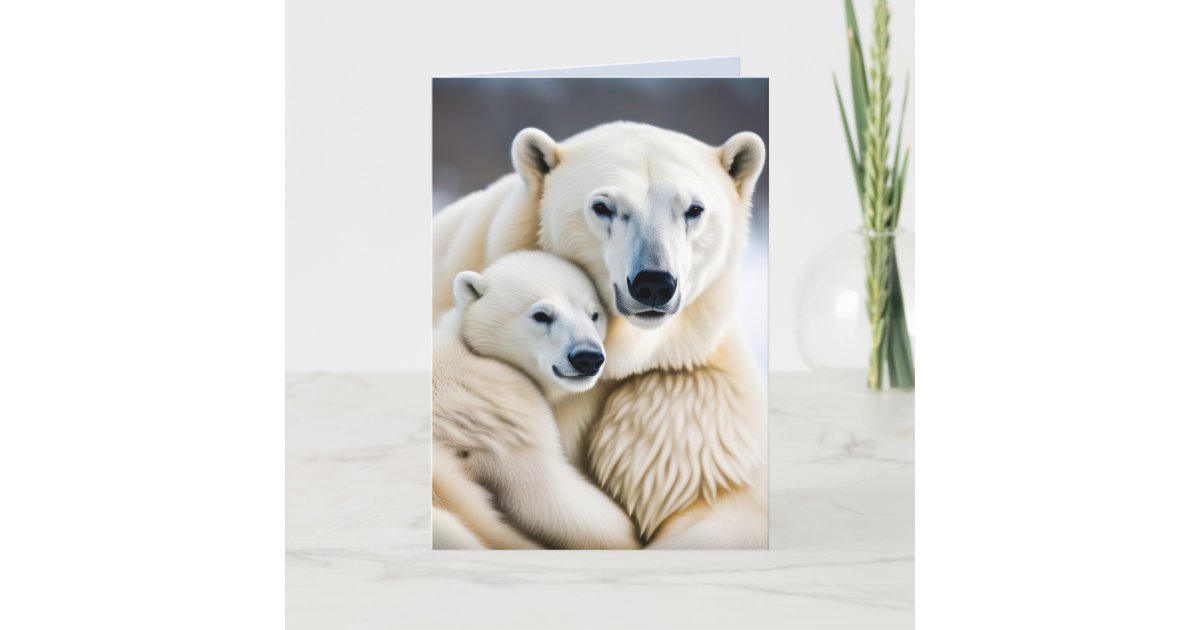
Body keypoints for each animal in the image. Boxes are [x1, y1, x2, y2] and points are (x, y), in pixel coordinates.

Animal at [432, 250, 640, 550]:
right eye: (542, 315)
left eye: (594, 315)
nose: (587, 357)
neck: (476, 351)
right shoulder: (509, 405)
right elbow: (548, 497)